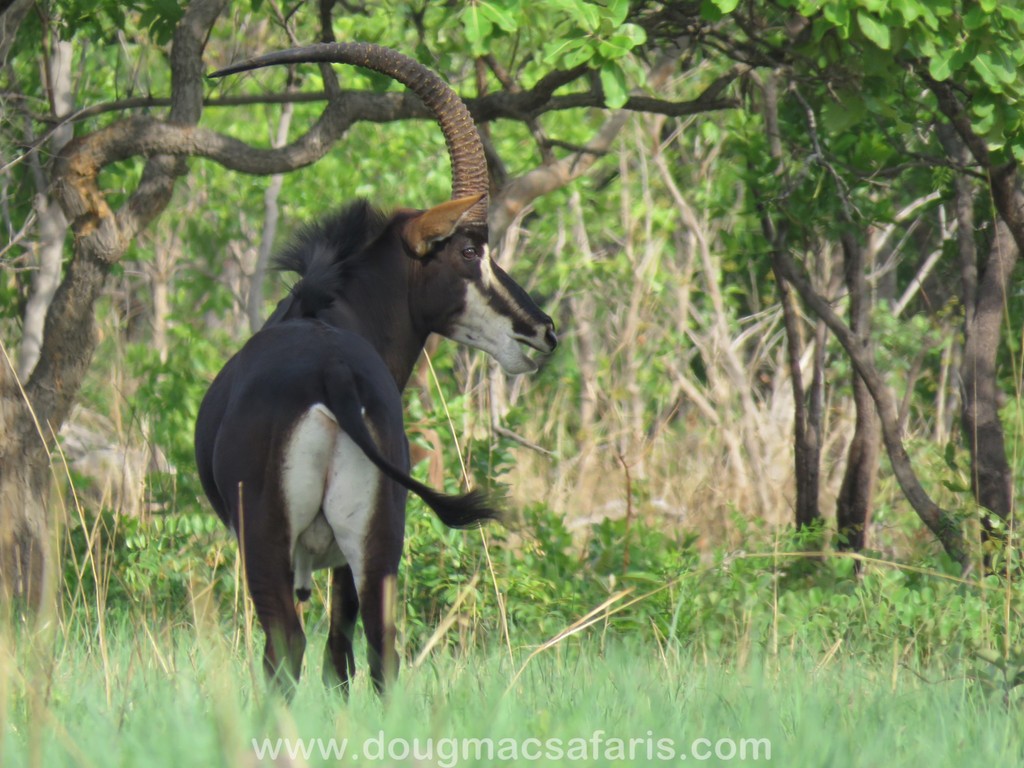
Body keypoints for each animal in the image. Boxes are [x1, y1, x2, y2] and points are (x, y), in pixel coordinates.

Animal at [194, 43, 556, 695]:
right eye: (470, 250)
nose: (543, 330)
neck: (331, 311)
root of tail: (333, 375)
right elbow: (343, 654)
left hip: (269, 541)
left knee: (286, 647)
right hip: (379, 539)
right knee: (379, 649)